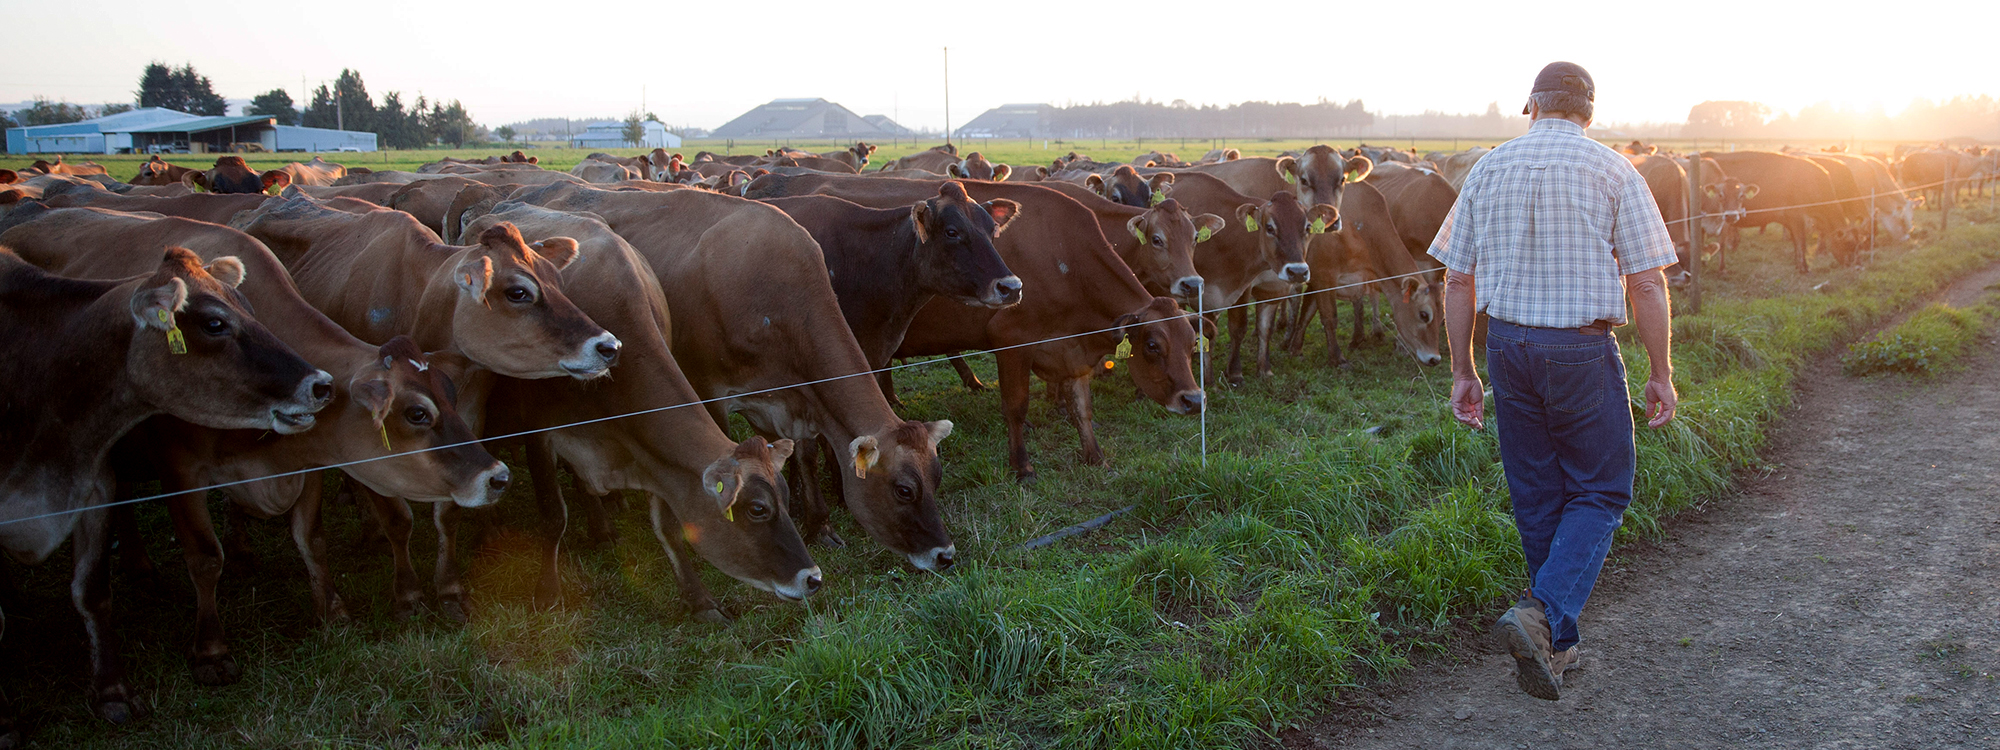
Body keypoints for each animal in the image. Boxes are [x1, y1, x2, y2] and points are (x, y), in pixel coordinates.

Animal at [0, 245, 329, 733]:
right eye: (214, 323)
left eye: (250, 308)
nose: (322, 384)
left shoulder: (95, 487)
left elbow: (92, 591)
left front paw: (113, 691)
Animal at [503, 182, 961, 568]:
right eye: (903, 489)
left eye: (938, 478)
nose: (945, 555)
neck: (776, 300)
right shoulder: (710, 390)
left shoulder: (793, 398)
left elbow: (805, 455)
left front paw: (818, 523)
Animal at [1702, 151, 1858, 272]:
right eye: (1848, 243)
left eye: (1857, 244)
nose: (1854, 265)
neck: (1812, 183)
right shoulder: (1797, 217)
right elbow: (1801, 243)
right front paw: (1804, 268)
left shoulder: (1789, 220)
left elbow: (1796, 243)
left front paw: (1797, 264)